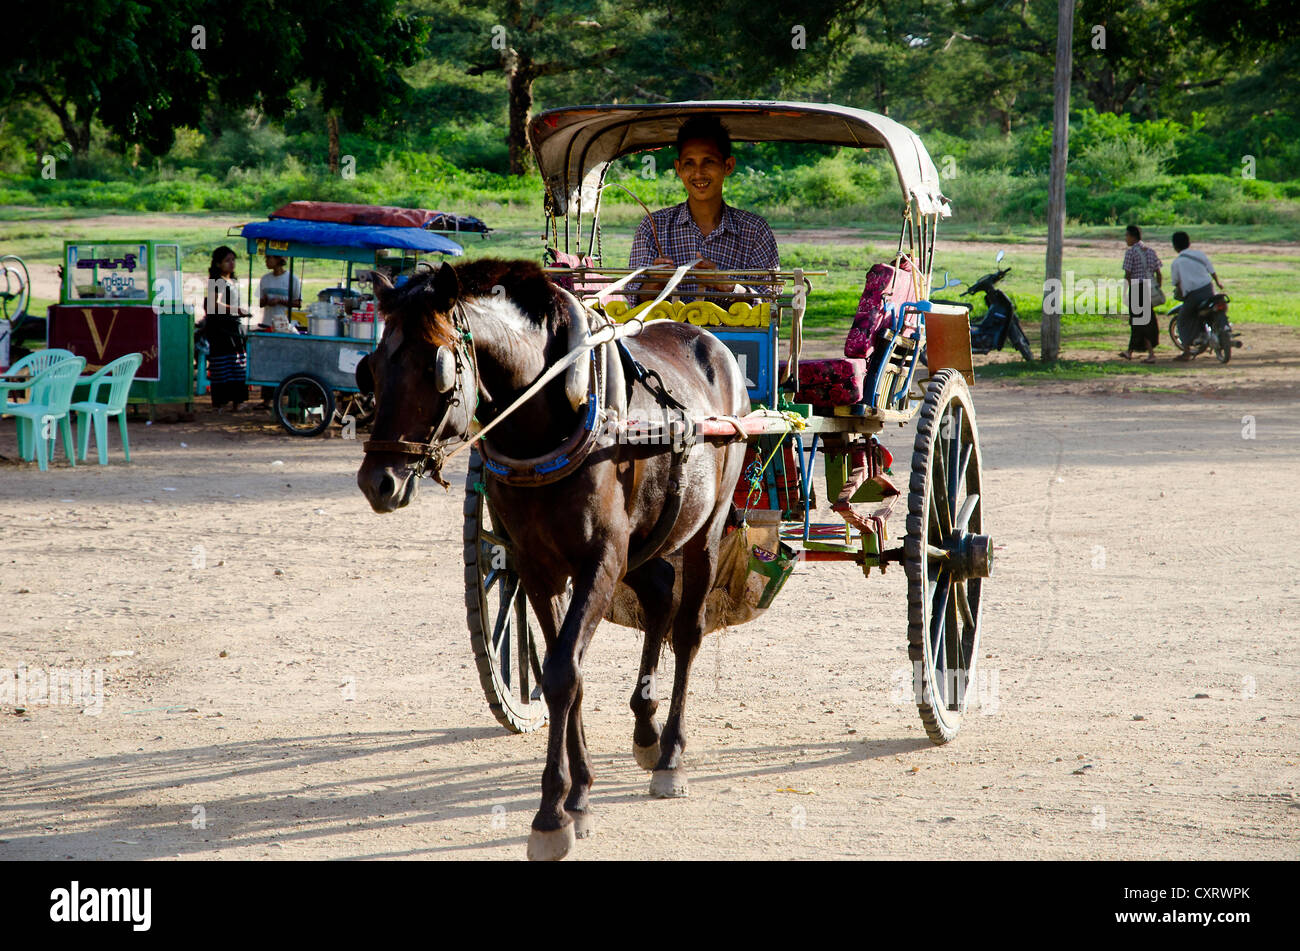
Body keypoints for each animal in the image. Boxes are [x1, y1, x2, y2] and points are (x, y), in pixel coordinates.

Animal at [355, 258, 748, 860]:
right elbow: (568, 671)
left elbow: (563, 671)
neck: (546, 419)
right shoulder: (536, 567)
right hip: (643, 543)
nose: (379, 481)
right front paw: (578, 796)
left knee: (688, 630)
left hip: (706, 526)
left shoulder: (599, 562)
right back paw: (645, 729)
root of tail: (707, 338)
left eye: (436, 369)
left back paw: (670, 755)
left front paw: (551, 815)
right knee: (660, 590)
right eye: (371, 369)